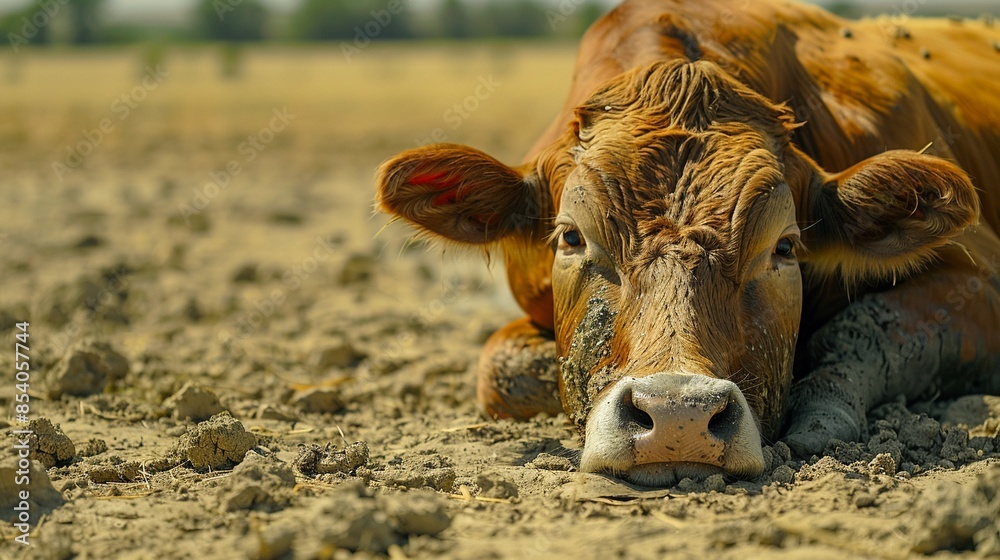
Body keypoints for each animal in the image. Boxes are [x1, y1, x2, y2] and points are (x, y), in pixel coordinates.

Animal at [376, 0, 1000, 486]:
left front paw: (824, 415)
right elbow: (502, 371)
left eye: (784, 248)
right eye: (571, 237)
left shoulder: (980, 279)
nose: (679, 415)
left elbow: (863, 332)